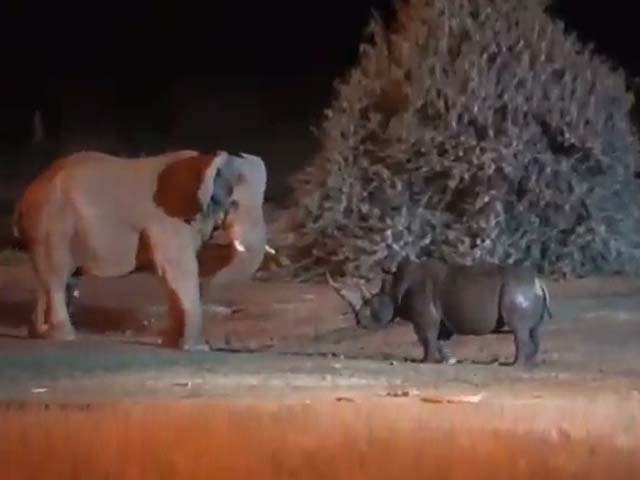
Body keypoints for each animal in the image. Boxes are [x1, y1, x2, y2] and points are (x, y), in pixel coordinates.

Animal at [12, 149, 268, 350]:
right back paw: (64, 336)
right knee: (56, 276)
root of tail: (28, 192)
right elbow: (180, 270)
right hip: (51, 224)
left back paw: (39, 333)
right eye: (234, 204)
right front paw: (196, 349)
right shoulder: (169, 217)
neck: (210, 163)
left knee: (56, 279)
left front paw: (171, 344)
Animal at [328, 255, 552, 367]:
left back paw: (514, 366)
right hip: (523, 291)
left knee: (519, 330)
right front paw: (447, 360)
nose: (359, 323)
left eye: (370, 304)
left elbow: (426, 337)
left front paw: (425, 362)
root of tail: (538, 282)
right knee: (534, 330)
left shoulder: (424, 317)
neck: (394, 285)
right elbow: (440, 339)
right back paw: (530, 363)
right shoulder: (443, 318)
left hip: (516, 290)